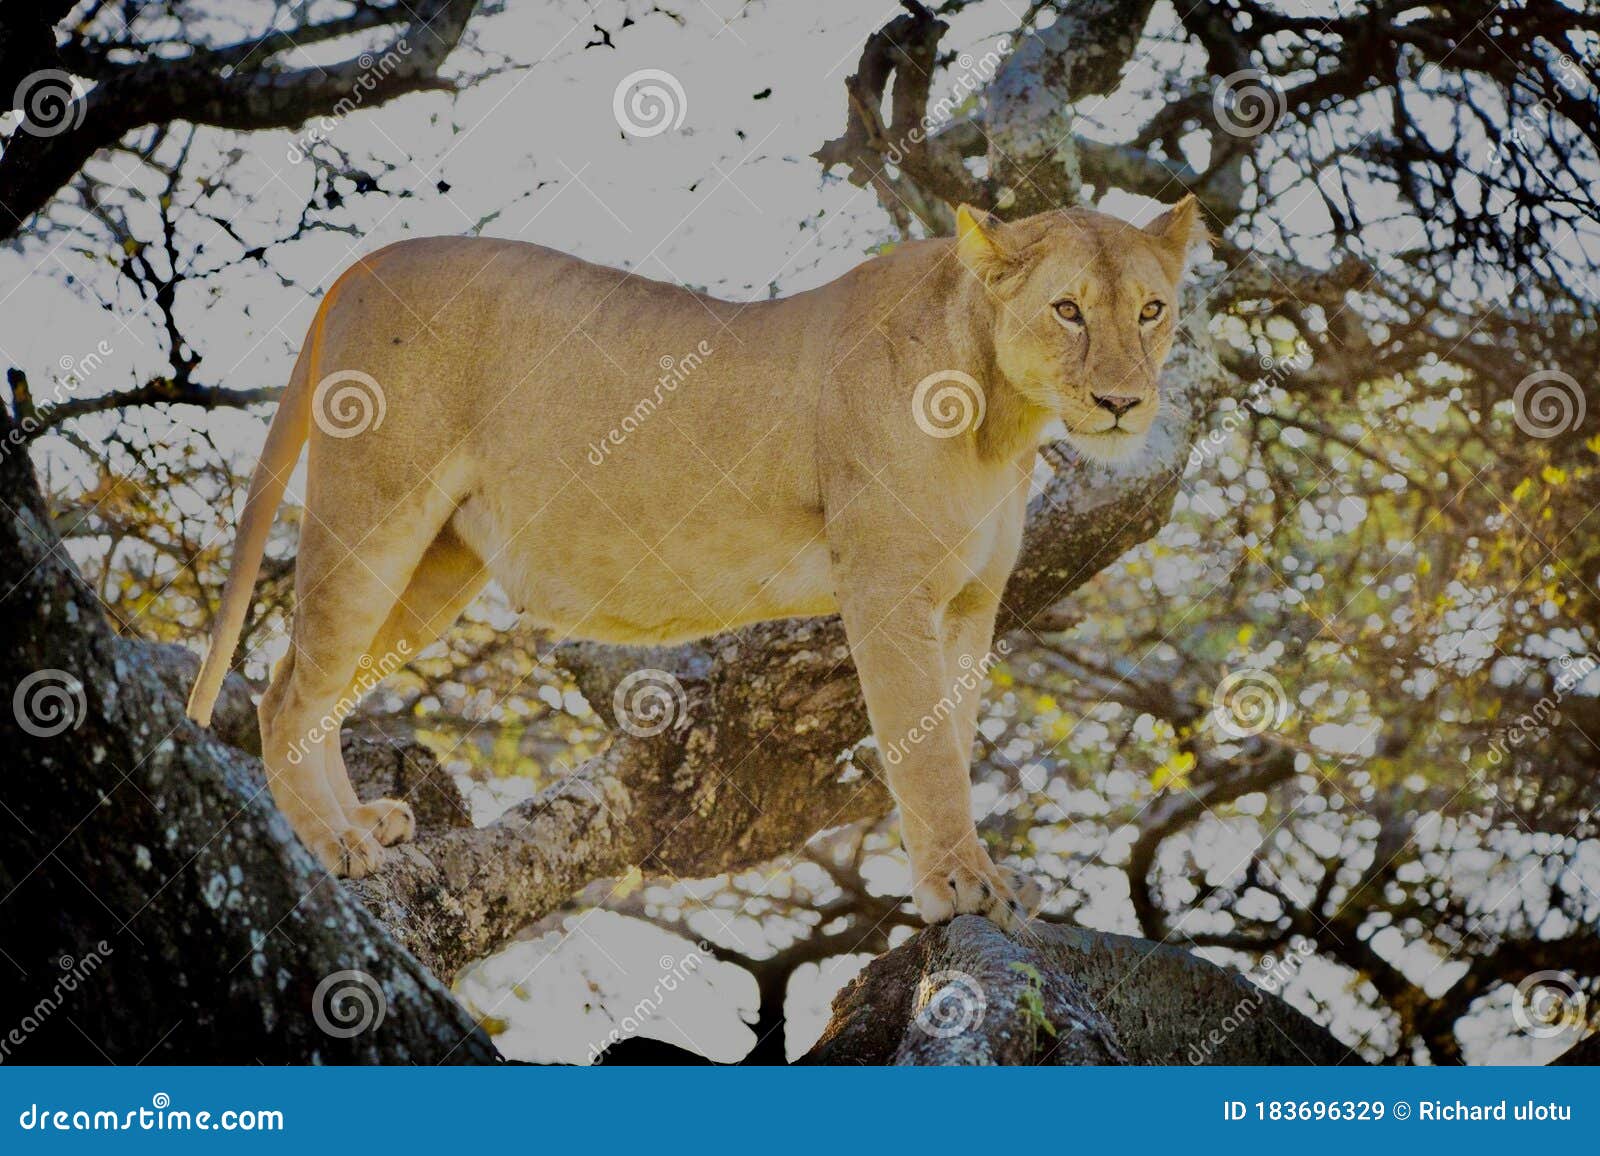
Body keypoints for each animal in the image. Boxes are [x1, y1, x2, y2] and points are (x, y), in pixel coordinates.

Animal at [187, 196, 1207, 933]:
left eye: (1152, 310)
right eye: (1067, 310)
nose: (1123, 403)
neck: (1003, 422)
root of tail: (366, 262)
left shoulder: (970, 604)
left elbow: (951, 740)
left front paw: (978, 879)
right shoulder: (886, 588)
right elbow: (925, 758)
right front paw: (961, 889)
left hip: (437, 563)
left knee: (307, 679)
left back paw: (359, 826)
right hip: (377, 510)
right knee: (288, 688)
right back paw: (331, 845)